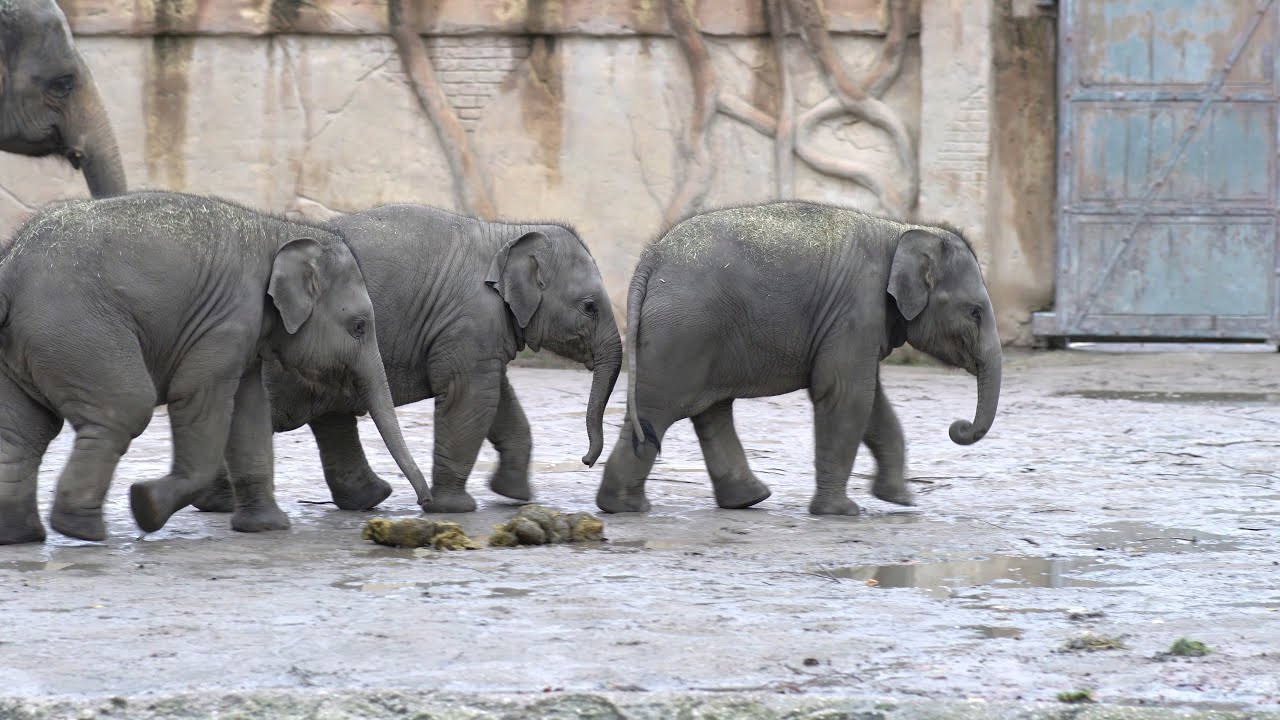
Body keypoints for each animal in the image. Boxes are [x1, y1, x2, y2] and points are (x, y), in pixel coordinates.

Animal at [0, 191, 430, 545]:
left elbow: (250, 412)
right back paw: (82, 529)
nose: (424, 501)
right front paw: (145, 504)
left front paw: (268, 527)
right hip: (78, 331)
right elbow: (200, 399)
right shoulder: (225, 323)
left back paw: (21, 535)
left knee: (23, 431)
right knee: (123, 408)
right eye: (359, 326)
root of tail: (10, 269)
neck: (278, 230)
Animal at [188, 203, 623, 516]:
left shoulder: (477, 333)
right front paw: (455, 508)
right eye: (590, 308)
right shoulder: (469, 321)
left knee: (331, 419)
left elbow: (497, 398)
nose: (587, 460)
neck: (507, 233)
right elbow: (472, 397)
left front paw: (515, 495)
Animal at [597, 201, 1001, 516]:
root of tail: (650, 259)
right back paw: (627, 507)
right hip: (683, 332)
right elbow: (846, 394)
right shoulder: (856, 310)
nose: (958, 427)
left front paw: (901, 500)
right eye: (975, 313)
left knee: (709, 410)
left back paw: (744, 500)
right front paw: (842, 512)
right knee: (659, 407)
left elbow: (871, 402)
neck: (901, 230)